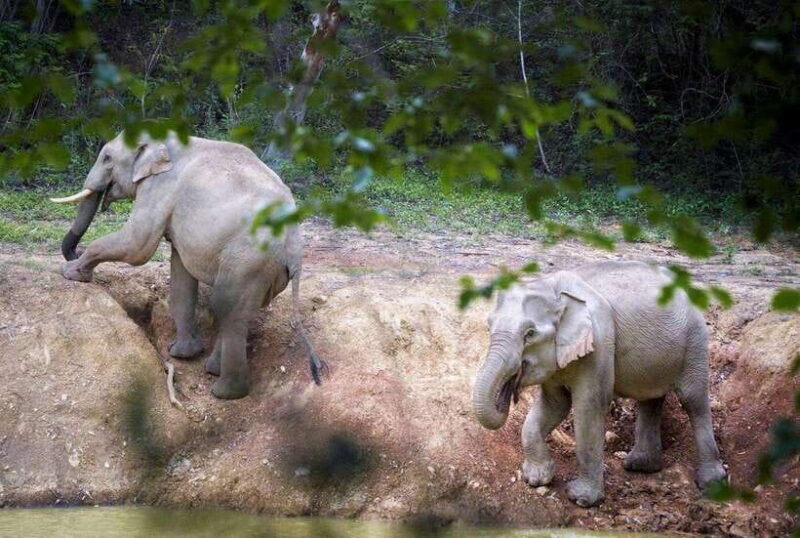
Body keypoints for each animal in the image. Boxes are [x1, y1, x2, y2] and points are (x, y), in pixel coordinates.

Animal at [50, 132, 325, 399]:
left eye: (107, 158)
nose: (74, 251)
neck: (163, 138)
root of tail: (294, 253)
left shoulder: (160, 187)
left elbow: (137, 245)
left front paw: (69, 273)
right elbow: (180, 270)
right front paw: (182, 354)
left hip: (250, 260)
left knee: (226, 305)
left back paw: (225, 391)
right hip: (264, 271)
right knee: (239, 311)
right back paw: (213, 369)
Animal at [471, 261, 726, 507]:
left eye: (530, 333)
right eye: (489, 326)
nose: (509, 392)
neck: (553, 289)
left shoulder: (600, 342)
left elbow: (588, 408)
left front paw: (581, 498)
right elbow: (553, 405)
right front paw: (536, 478)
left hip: (695, 339)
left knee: (693, 399)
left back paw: (711, 482)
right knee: (650, 398)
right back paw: (640, 466)